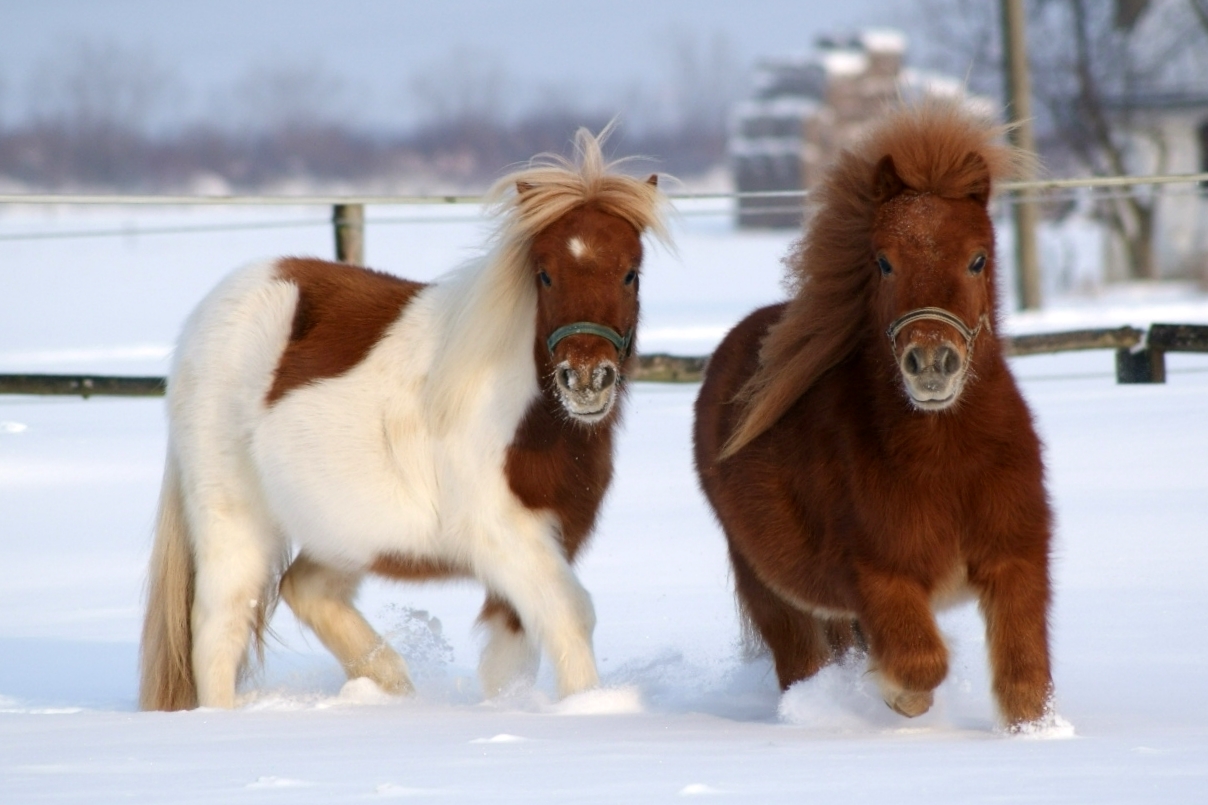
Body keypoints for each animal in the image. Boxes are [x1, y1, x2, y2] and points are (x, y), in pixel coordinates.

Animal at [139, 127, 668, 711]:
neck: (533, 422)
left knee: (306, 589)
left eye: (631, 272)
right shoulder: (507, 538)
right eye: (545, 274)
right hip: (234, 525)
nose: (586, 379)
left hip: (344, 533)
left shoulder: (549, 541)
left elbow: (512, 654)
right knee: (219, 629)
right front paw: (589, 708)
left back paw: (389, 689)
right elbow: (571, 616)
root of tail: (208, 315)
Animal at [693, 99, 1054, 731]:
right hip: (771, 589)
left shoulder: (1016, 559)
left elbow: (1024, 678)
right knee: (801, 663)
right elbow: (920, 662)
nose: (931, 363)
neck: (949, 461)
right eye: (883, 262)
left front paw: (1037, 736)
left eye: (978, 259)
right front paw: (894, 696)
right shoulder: (877, 576)